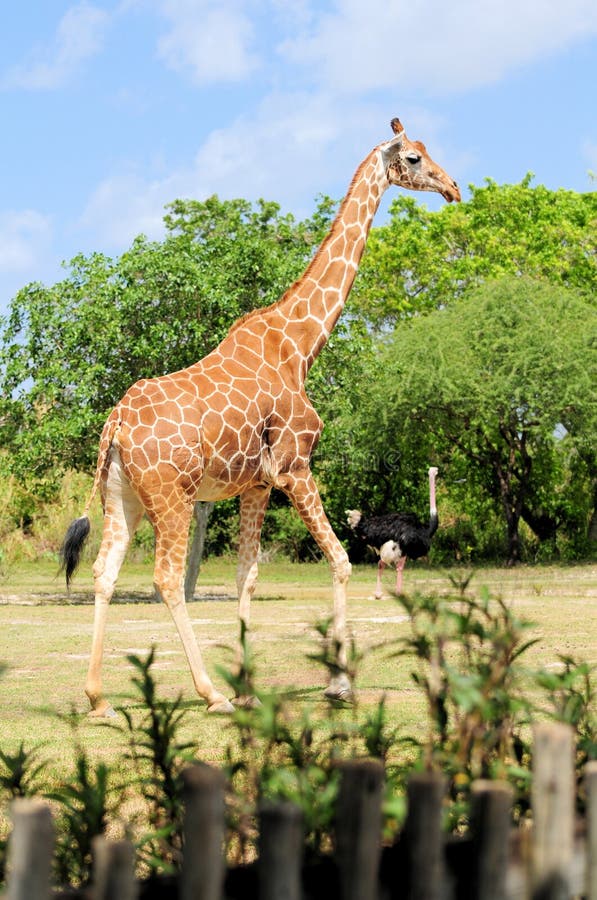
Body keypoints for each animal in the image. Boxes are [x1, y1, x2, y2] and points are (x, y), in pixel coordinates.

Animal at [61, 117, 460, 716]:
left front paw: (250, 687)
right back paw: (209, 693)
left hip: (122, 495)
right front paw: (338, 685)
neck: (300, 344)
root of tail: (116, 424)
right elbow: (341, 562)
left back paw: (99, 697)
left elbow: (247, 576)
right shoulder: (296, 468)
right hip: (172, 497)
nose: (452, 187)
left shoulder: (256, 484)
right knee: (167, 578)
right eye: (413, 157)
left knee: (104, 571)